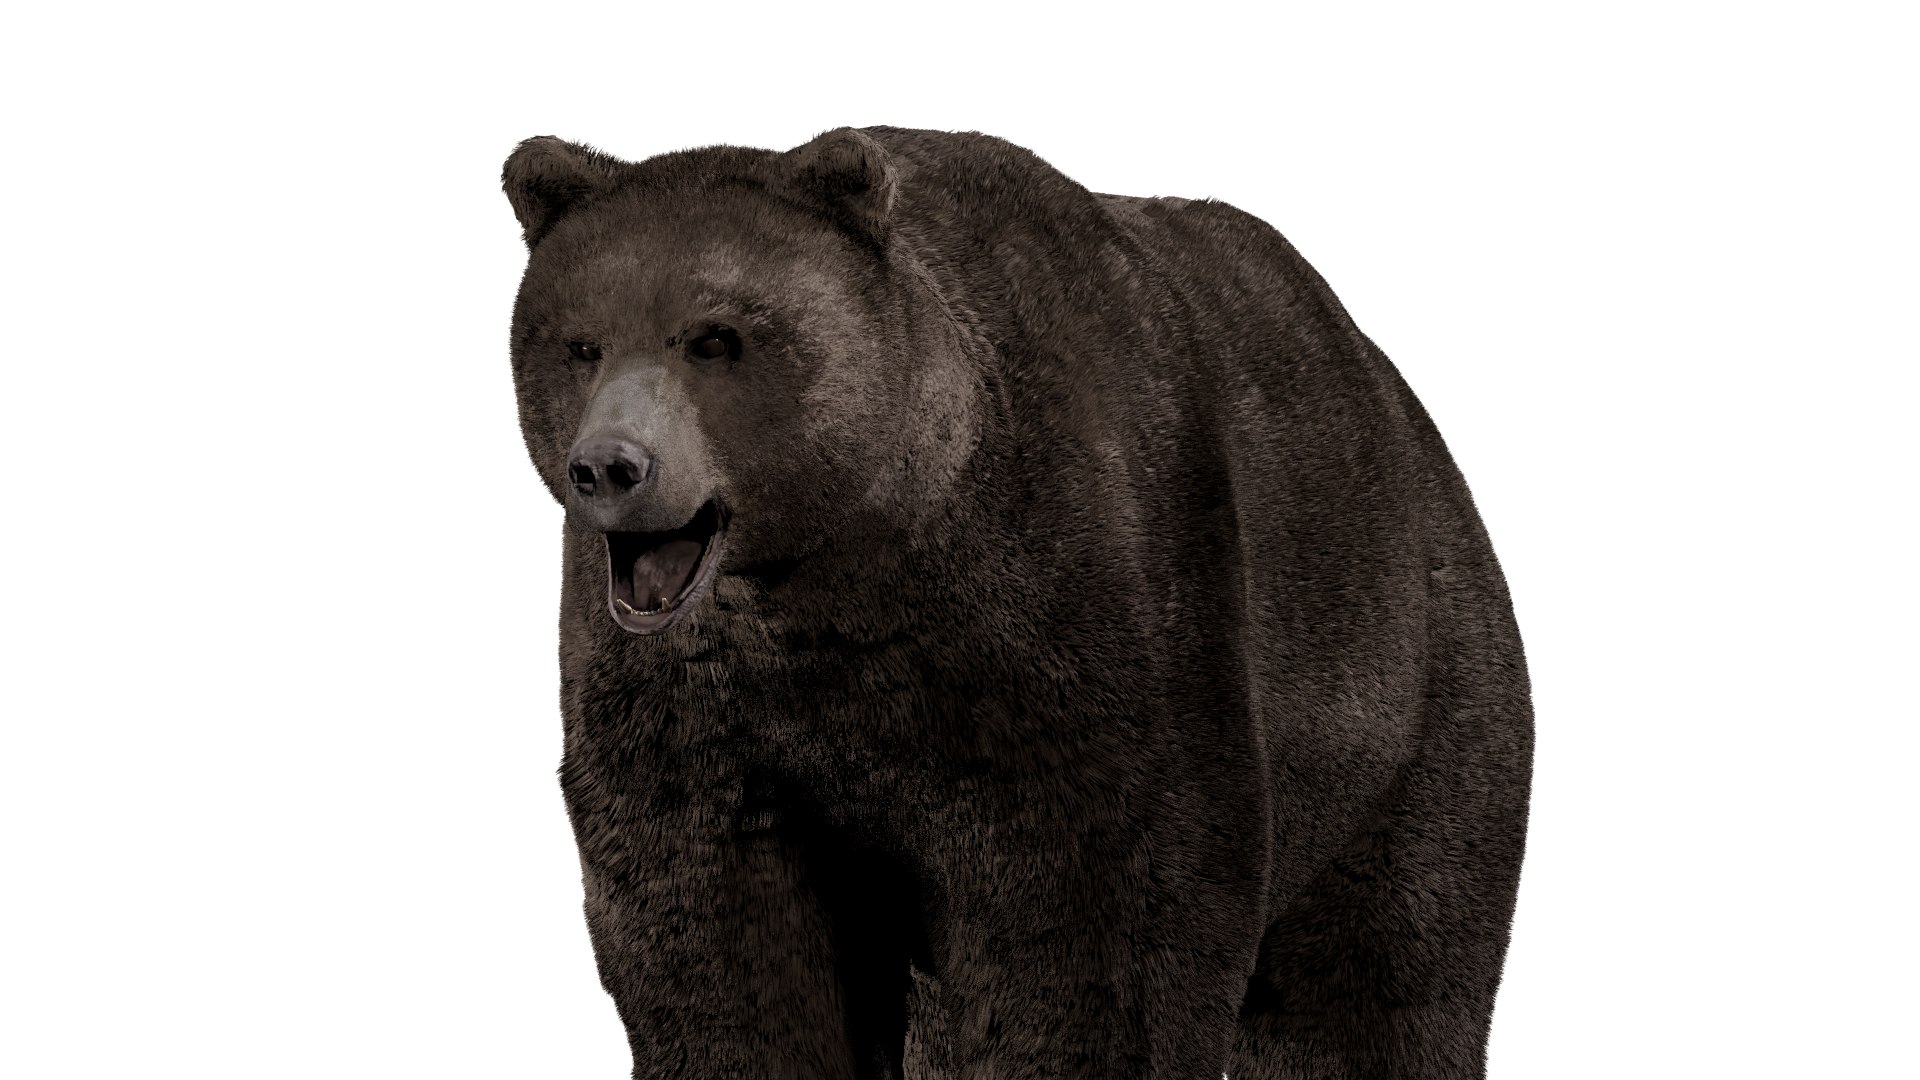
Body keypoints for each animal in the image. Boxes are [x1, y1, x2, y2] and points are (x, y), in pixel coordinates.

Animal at [501, 125, 1533, 1080]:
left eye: (716, 337)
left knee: (1384, 972)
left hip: (1410, 685)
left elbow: (1105, 908)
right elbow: (710, 915)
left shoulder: (1063, 613)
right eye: (578, 343)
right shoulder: (689, 696)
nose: (610, 465)